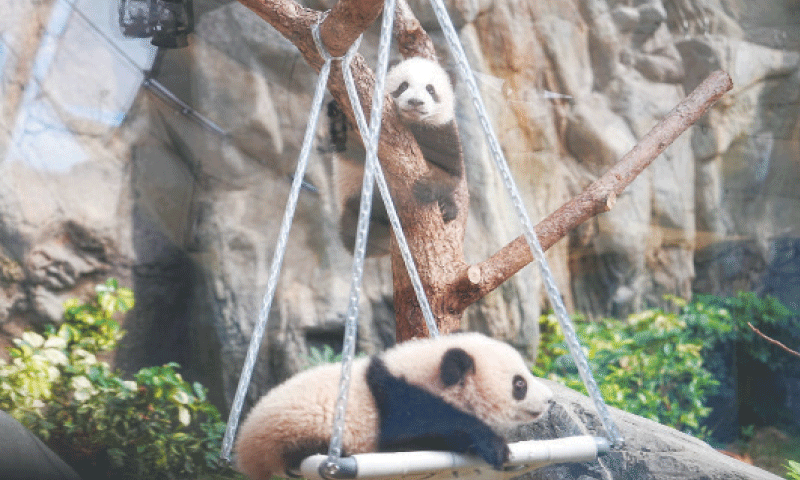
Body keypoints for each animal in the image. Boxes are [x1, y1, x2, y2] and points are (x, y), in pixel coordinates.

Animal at [234, 332, 553, 480]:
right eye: (519, 384)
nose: (550, 399)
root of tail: (245, 448)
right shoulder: (397, 399)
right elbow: (412, 435)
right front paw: (493, 445)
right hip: (296, 428)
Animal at [331, 57, 463, 256]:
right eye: (403, 86)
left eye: (430, 89)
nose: (415, 102)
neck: (413, 124)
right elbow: (351, 148)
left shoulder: (441, 132)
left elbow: (451, 173)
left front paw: (427, 188)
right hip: (352, 194)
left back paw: (446, 208)